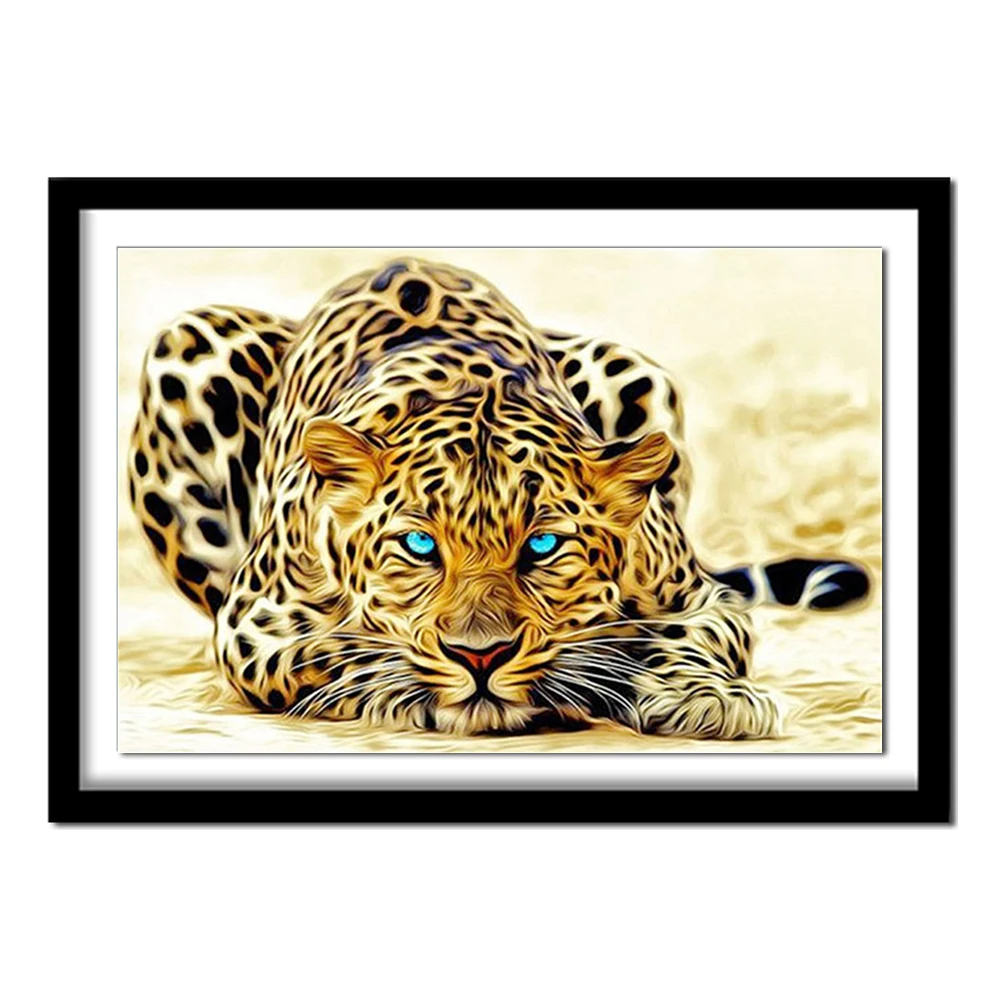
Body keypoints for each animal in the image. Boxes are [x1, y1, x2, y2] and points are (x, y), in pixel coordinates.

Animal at [127, 257, 869, 738]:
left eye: (543, 545)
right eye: (419, 546)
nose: (480, 657)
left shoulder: (698, 597)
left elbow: (693, 636)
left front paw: (707, 696)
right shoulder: (256, 623)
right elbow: (341, 652)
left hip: (633, 368)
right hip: (188, 342)